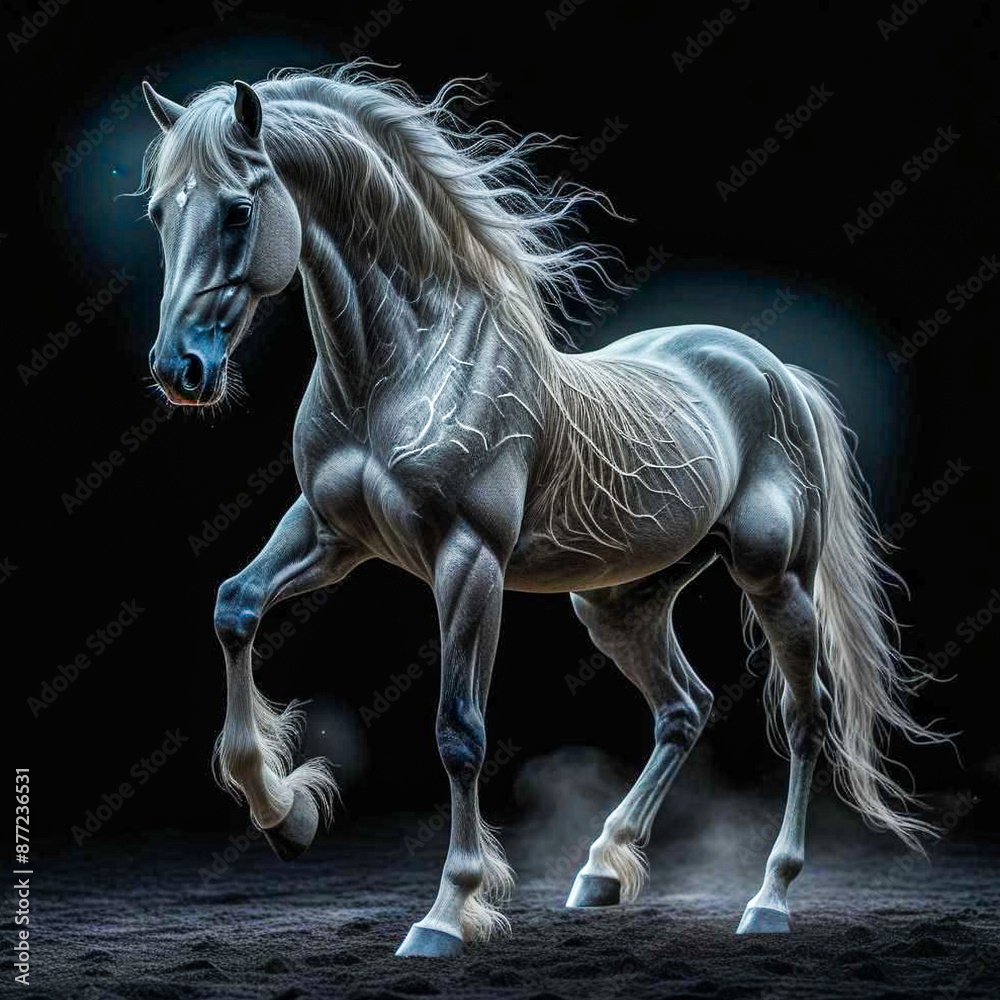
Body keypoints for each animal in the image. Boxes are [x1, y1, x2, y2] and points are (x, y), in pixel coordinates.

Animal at [139, 64, 942, 957]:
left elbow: (459, 732)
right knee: (683, 707)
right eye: (160, 212)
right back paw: (600, 869)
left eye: (237, 211)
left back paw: (768, 898)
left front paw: (448, 911)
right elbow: (234, 608)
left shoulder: (468, 560)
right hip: (619, 601)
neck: (401, 369)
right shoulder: (328, 532)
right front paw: (288, 814)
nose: (179, 370)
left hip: (776, 580)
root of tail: (774, 370)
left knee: (806, 718)